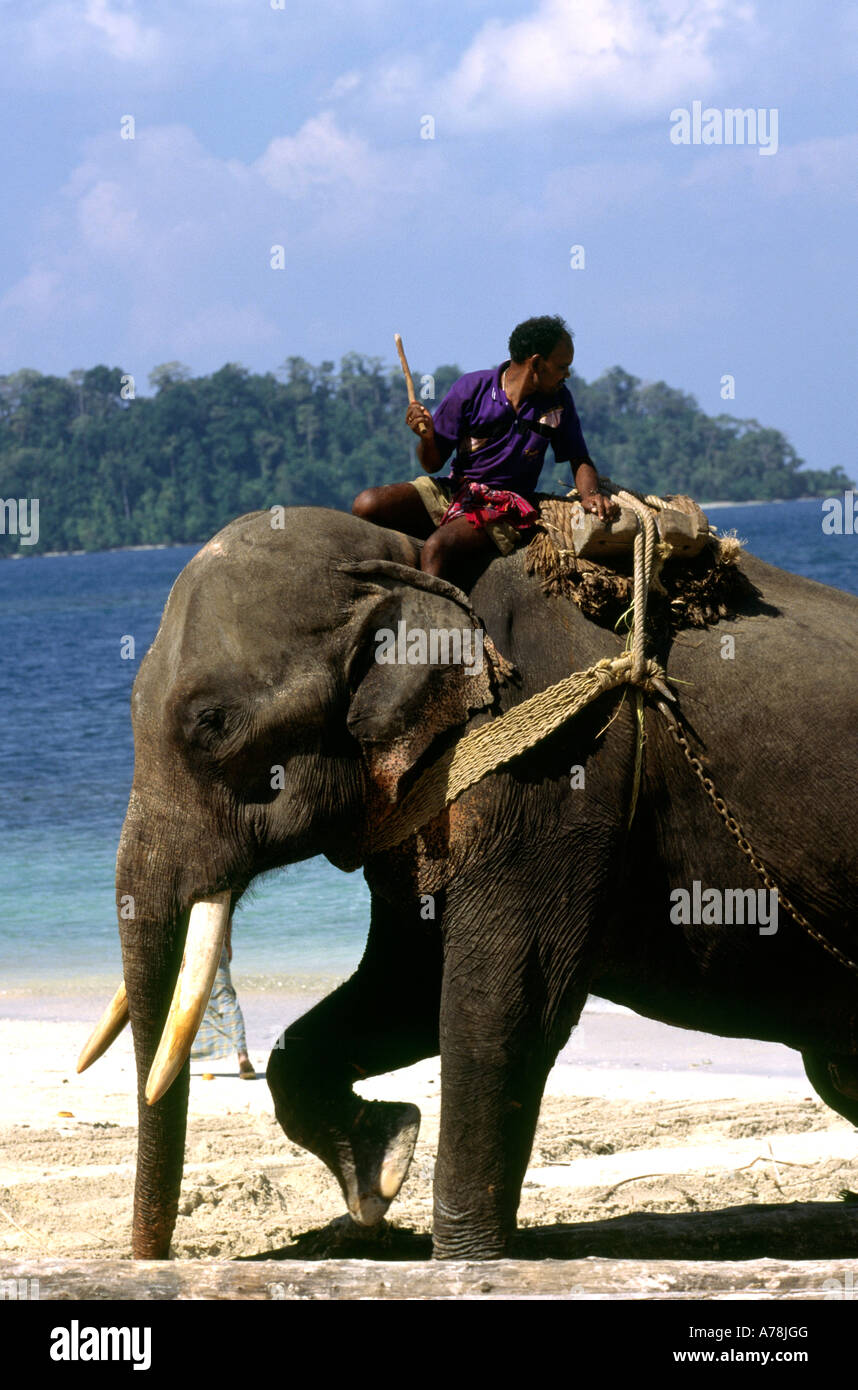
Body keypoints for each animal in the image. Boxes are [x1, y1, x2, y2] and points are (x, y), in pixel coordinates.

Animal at [82, 504, 858, 1260]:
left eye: (213, 725)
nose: (150, 1257)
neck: (402, 557)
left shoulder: (554, 773)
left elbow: (506, 1004)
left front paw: (465, 1259)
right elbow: (407, 988)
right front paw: (381, 1168)